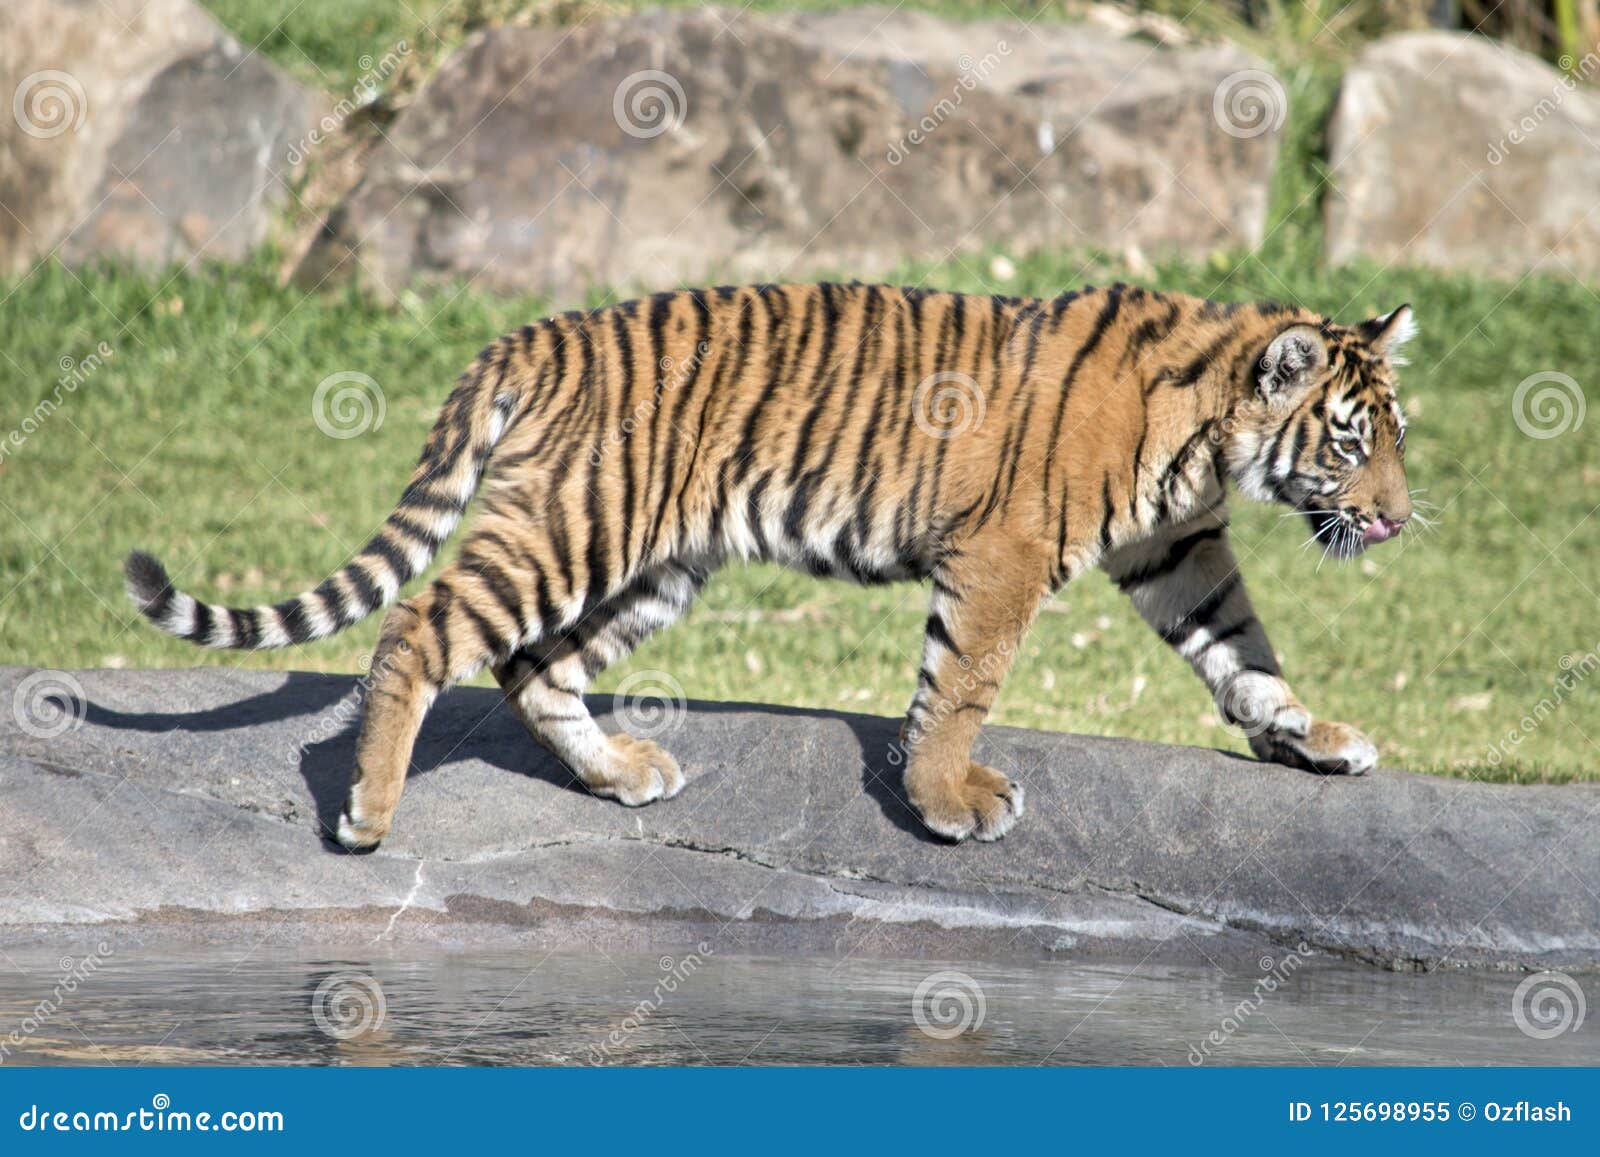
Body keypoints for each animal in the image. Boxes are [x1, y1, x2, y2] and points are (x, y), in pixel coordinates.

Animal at [124, 282, 1417, 850]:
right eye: (1354, 440)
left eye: (1395, 434)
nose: (1403, 521)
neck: (1207, 438)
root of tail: (531, 333)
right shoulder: (1000, 557)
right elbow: (962, 685)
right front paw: (948, 800)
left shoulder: (1179, 552)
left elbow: (1245, 655)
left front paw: (1314, 738)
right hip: (575, 526)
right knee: (424, 627)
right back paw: (370, 811)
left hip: (652, 563)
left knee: (535, 669)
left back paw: (620, 772)